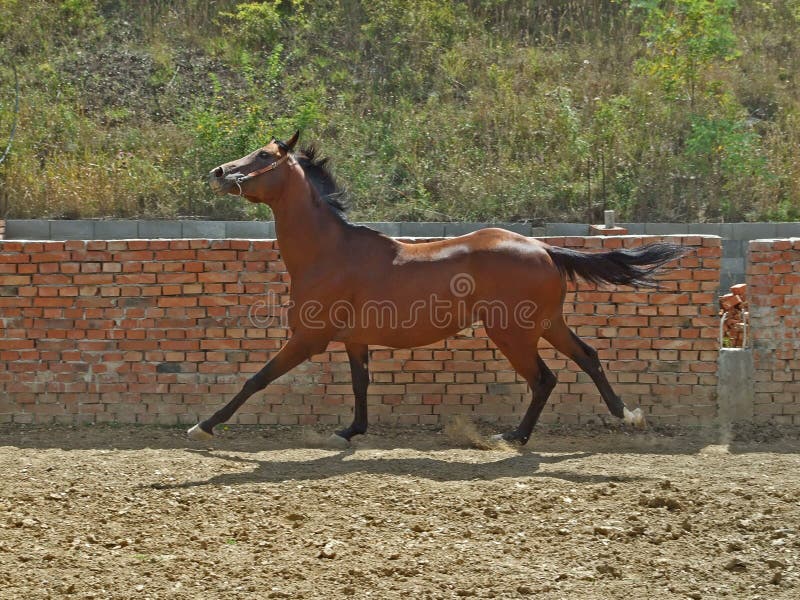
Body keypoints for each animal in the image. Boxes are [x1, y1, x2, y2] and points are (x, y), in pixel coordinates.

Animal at [188, 132, 687, 447]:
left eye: (262, 156)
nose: (218, 171)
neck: (329, 252)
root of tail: (542, 246)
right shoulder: (354, 340)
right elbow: (360, 385)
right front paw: (349, 431)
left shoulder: (308, 338)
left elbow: (256, 378)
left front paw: (205, 426)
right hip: (547, 323)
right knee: (588, 357)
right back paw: (627, 415)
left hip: (512, 333)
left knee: (544, 378)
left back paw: (514, 437)